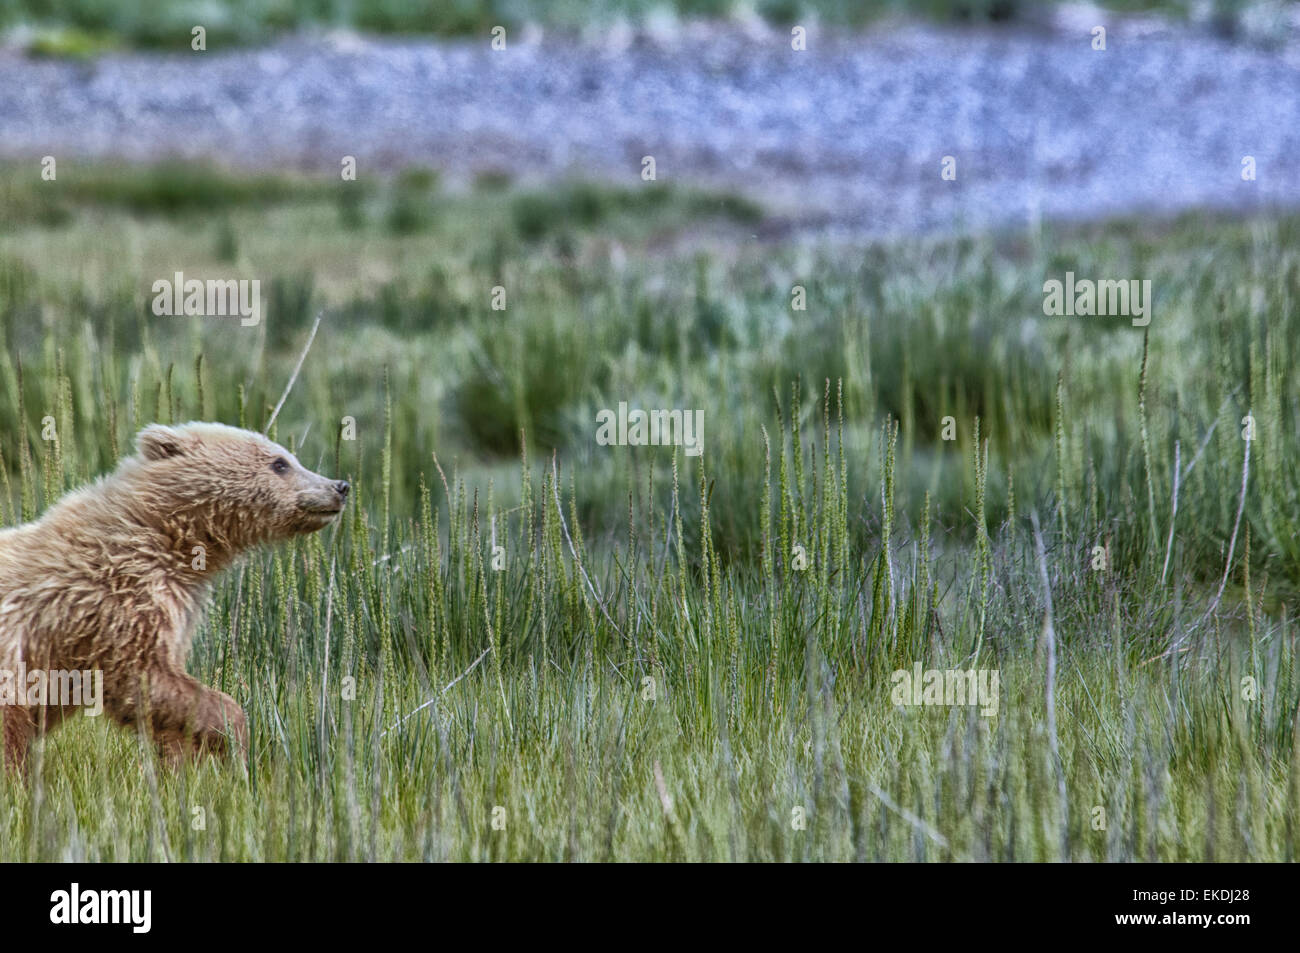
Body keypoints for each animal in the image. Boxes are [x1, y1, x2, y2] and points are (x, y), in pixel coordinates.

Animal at [0, 421, 349, 775]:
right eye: (279, 463)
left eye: (288, 457)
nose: (340, 486)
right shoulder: (120, 599)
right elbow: (142, 677)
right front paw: (235, 743)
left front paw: (183, 765)